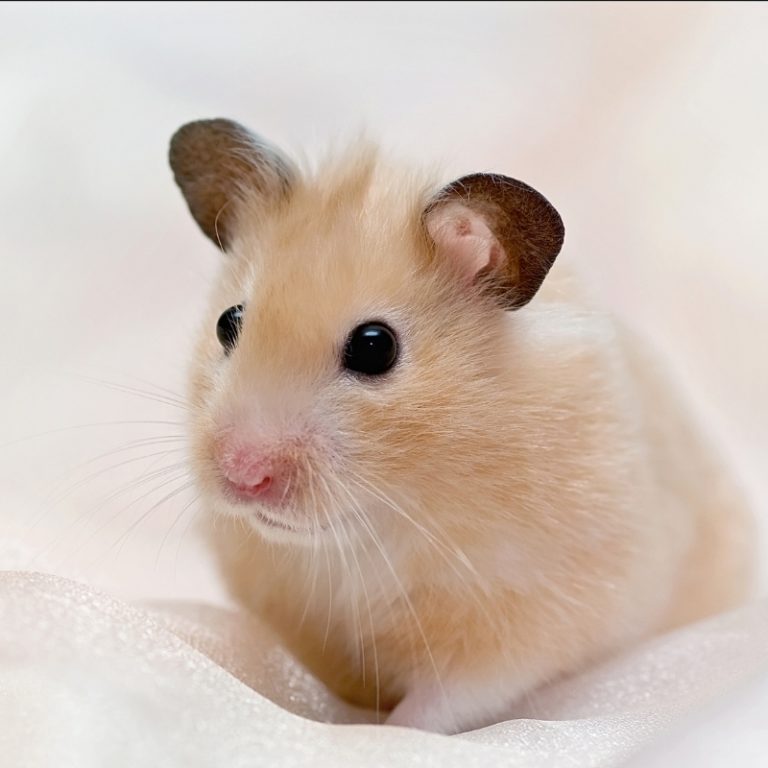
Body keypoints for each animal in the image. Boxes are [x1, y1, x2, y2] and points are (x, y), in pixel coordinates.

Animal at [169, 118, 755, 734]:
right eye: (228, 323)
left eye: (375, 348)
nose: (242, 475)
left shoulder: (526, 615)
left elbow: (443, 700)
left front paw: (379, 733)